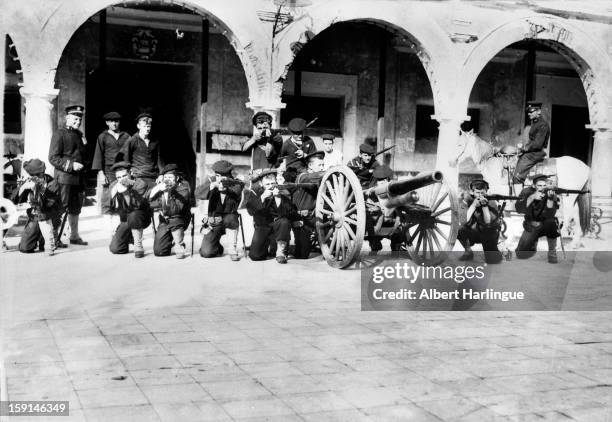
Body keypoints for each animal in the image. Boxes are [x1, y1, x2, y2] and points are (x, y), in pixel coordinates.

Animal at [456, 129, 592, 247]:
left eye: (460, 144)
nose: (453, 160)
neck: (494, 165)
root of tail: (585, 167)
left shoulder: (504, 198)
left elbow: (506, 216)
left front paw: (507, 240)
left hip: (569, 197)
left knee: (569, 216)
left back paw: (559, 243)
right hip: (575, 196)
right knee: (576, 215)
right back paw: (575, 243)